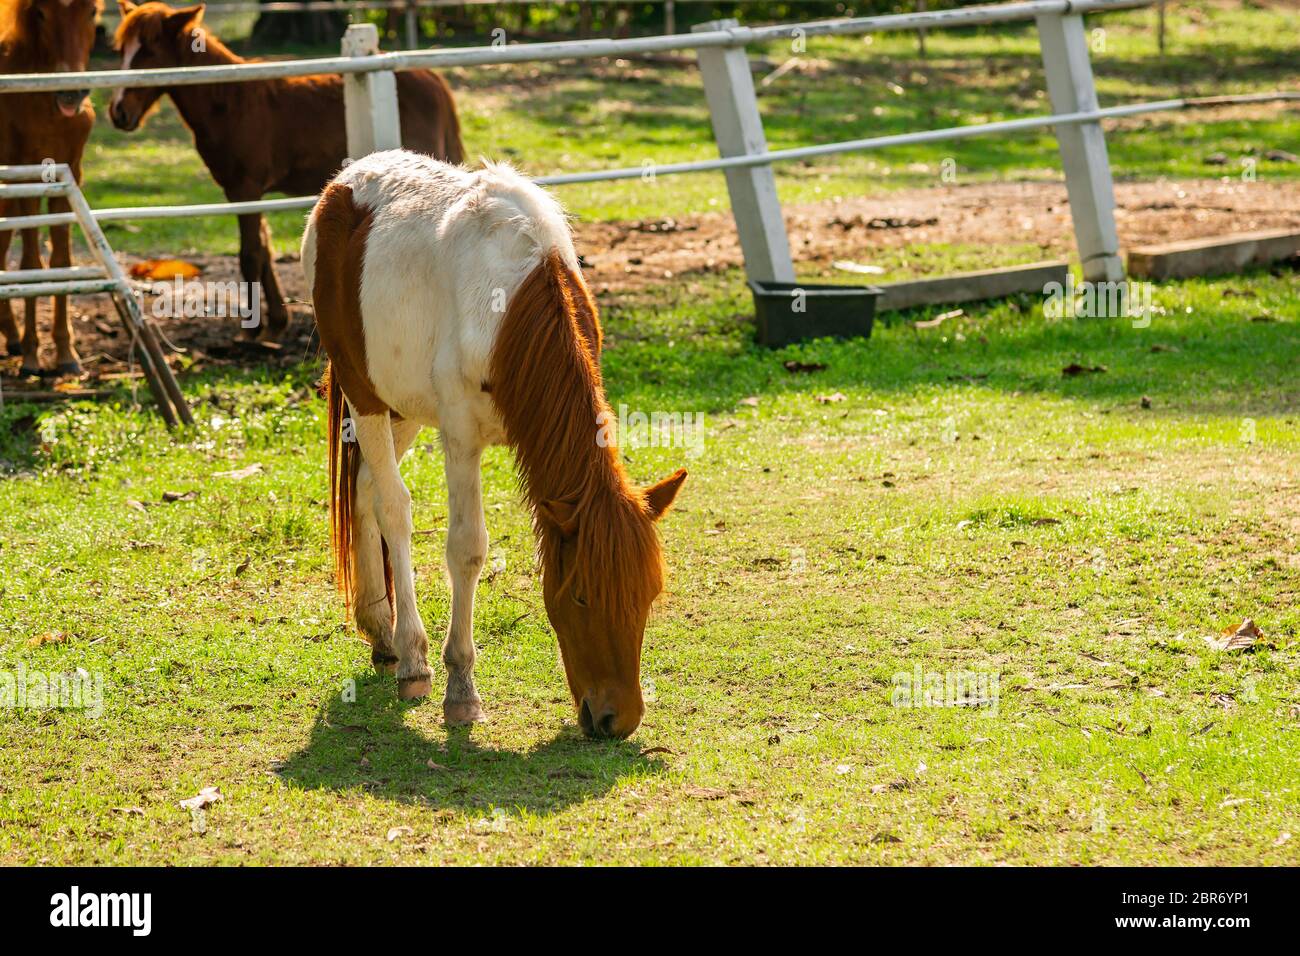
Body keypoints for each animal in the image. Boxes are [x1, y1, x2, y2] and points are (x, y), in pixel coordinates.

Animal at [0, 0, 101, 377]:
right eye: (41, 14)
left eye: (93, 12)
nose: (70, 91)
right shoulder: (25, 178)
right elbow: (31, 262)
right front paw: (32, 356)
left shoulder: (68, 175)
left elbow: (62, 260)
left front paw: (66, 353)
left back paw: (12, 336)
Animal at [109, 1, 464, 343]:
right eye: (121, 49)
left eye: (149, 49)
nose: (118, 112)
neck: (230, 102)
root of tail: (433, 80)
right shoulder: (242, 193)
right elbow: (265, 251)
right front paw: (277, 322)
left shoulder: (245, 189)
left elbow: (251, 254)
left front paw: (251, 330)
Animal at [301, 151, 687, 739]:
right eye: (581, 596)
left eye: (647, 593)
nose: (616, 718)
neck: (512, 306)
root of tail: (342, 185)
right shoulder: (460, 437)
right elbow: (467, 548)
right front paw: (460, 687)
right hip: (365, 393)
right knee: (393, 506)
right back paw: (411, 658)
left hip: (402, 406)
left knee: (365, 490)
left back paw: (382, 631)